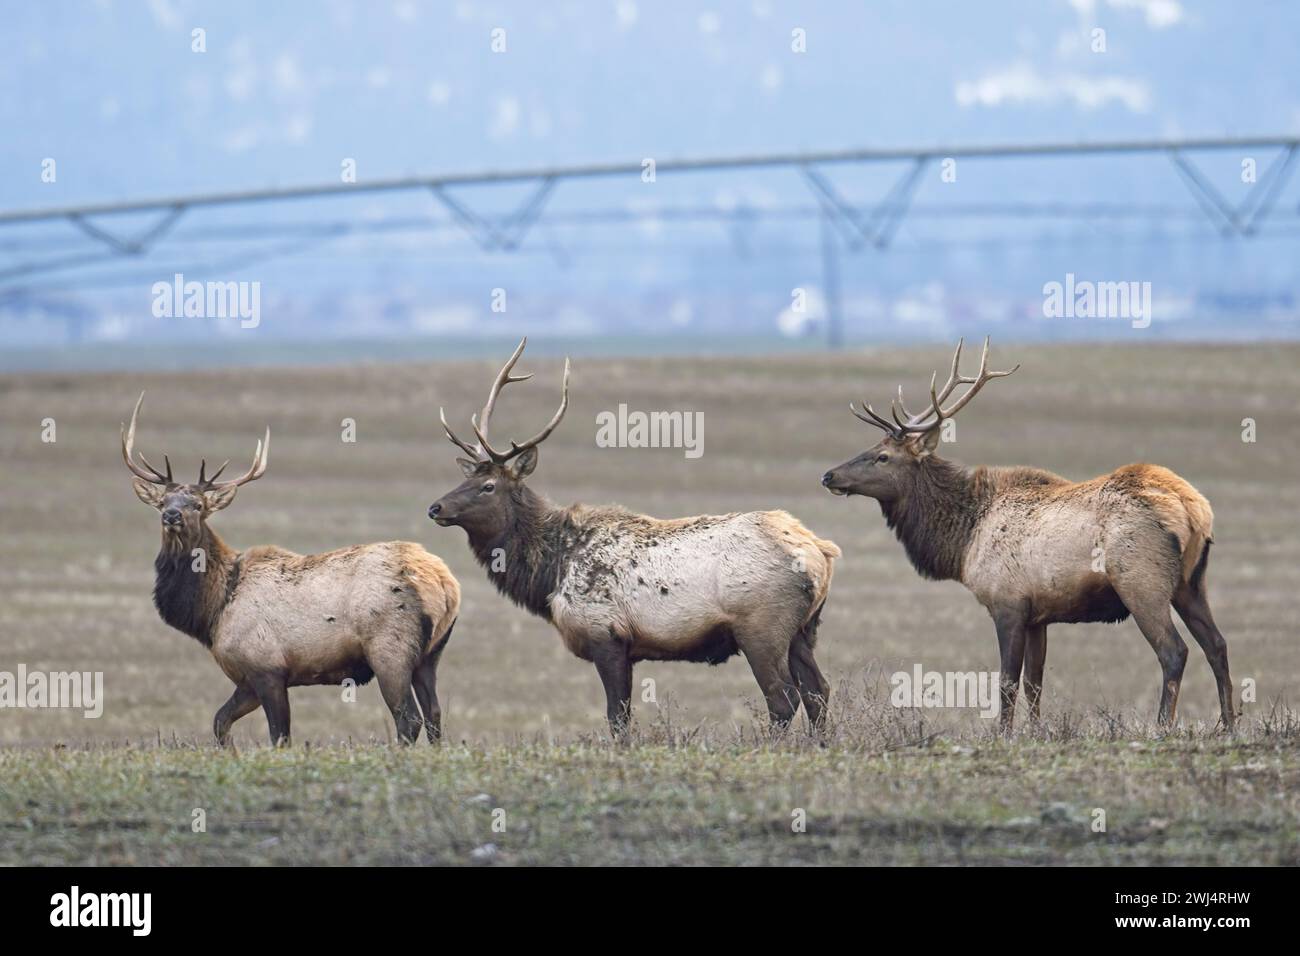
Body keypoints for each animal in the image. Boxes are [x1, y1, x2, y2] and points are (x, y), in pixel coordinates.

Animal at [122, 393, 460, 746]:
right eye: (162, 502)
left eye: (198, 505)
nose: (171, 516)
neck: (213, 610)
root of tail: (445, 583)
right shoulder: (248, 680)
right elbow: (220, 722)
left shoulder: (266, 669)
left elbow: (279, 736)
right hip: (430, 654)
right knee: (434, 715)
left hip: (389, 650)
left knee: (409, 718)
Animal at [428, 339, 841, 735]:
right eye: (466, 478)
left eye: (488, 486)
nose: (435, 507)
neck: (552, 572)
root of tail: (820, 551)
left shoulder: (606, 635)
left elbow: (618, 718)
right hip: (804, 629)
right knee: (818, 691)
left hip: (762, 627)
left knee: (784, 698)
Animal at [821, 339, 1234, 733]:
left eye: (883, 456)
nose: (828, 475)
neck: (963, 540)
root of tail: (1193, 507)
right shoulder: (1039, 615)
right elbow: (1035, 683)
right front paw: (1035, 731)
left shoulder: (1008, 604)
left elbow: (1007, 682)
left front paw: (1002, 734)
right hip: (1191, 583)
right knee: (1217, 644)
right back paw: (1229, 724)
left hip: (1141, 583)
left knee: (1174, 651)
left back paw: (1164, 726)